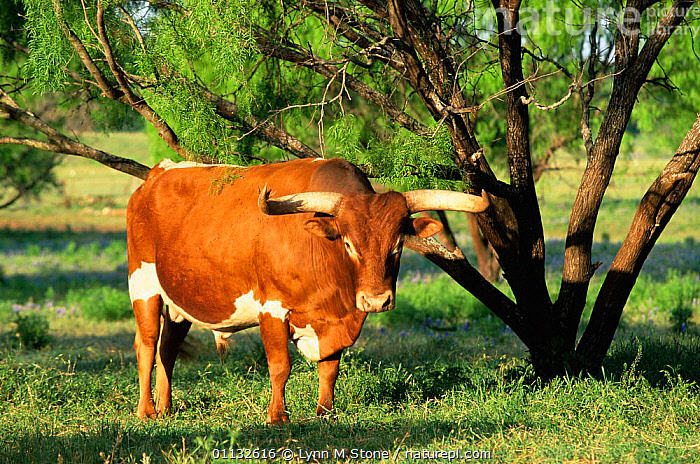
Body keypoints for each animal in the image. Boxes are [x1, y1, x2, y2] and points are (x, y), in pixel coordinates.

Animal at [126, 157, 489, 423]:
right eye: (348, 244)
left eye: (398, 245)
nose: (375, 300)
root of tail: (157, 175)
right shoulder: (271, 308)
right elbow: (280, 365)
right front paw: (278, 416)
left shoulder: (334, 318)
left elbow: (330, 367)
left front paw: (325, 411)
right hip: (143, 286)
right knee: (147, 346)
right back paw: (146, 411)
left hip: (178, 302)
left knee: (168, 350)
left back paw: (165, 408)